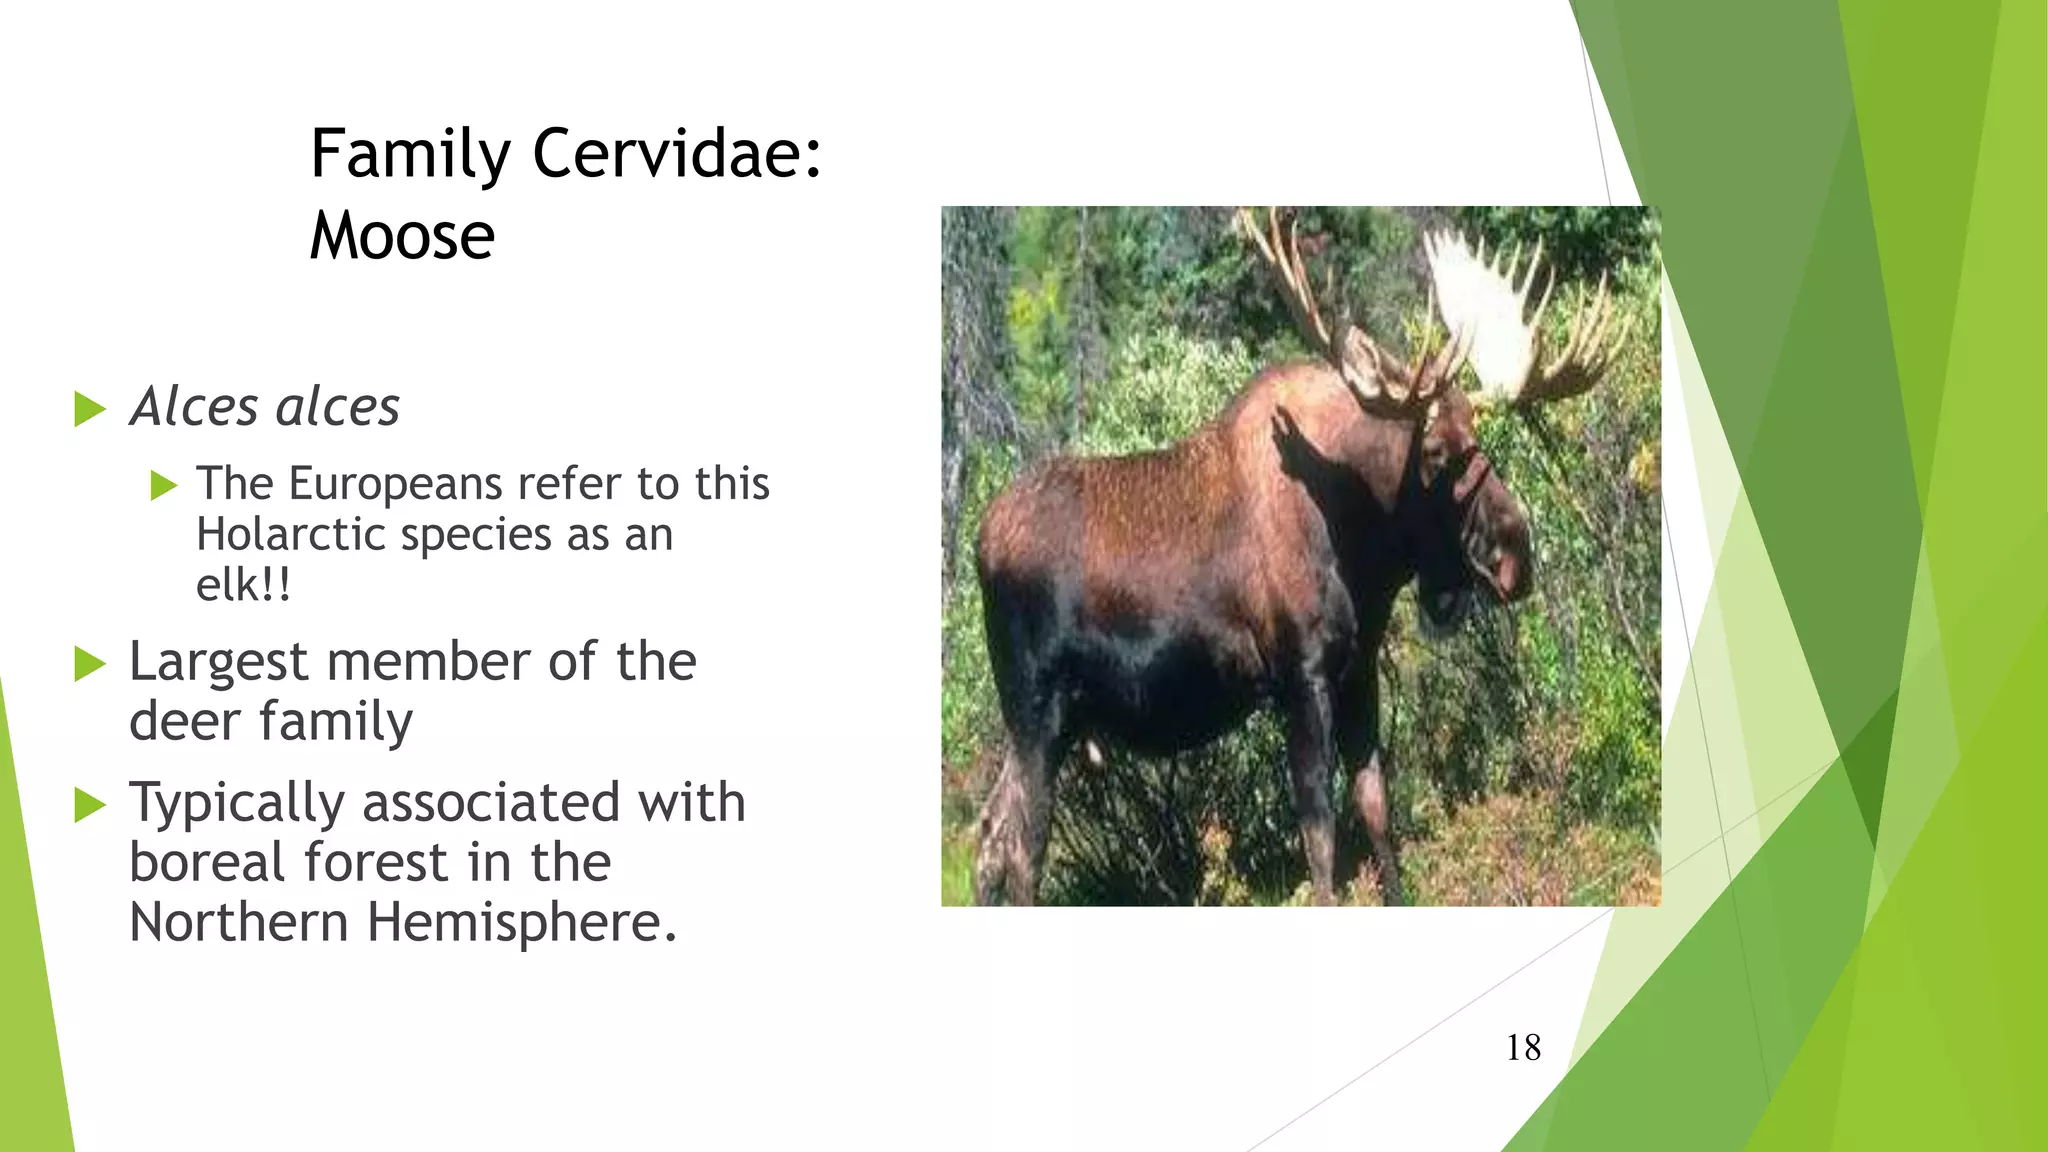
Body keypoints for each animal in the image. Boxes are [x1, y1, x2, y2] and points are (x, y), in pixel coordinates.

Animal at [972, 208, 1630, 905]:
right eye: (1434, 453)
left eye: (1479, 439)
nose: (1516, 552)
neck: (1361, 546)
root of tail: (978, 544)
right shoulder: (1300, 672)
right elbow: (1319, 831)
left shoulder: (1358, 669)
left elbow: (1375, 806)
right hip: (1036, 709)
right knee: (1023, 849)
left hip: (1049, 721)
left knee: (989, 834)